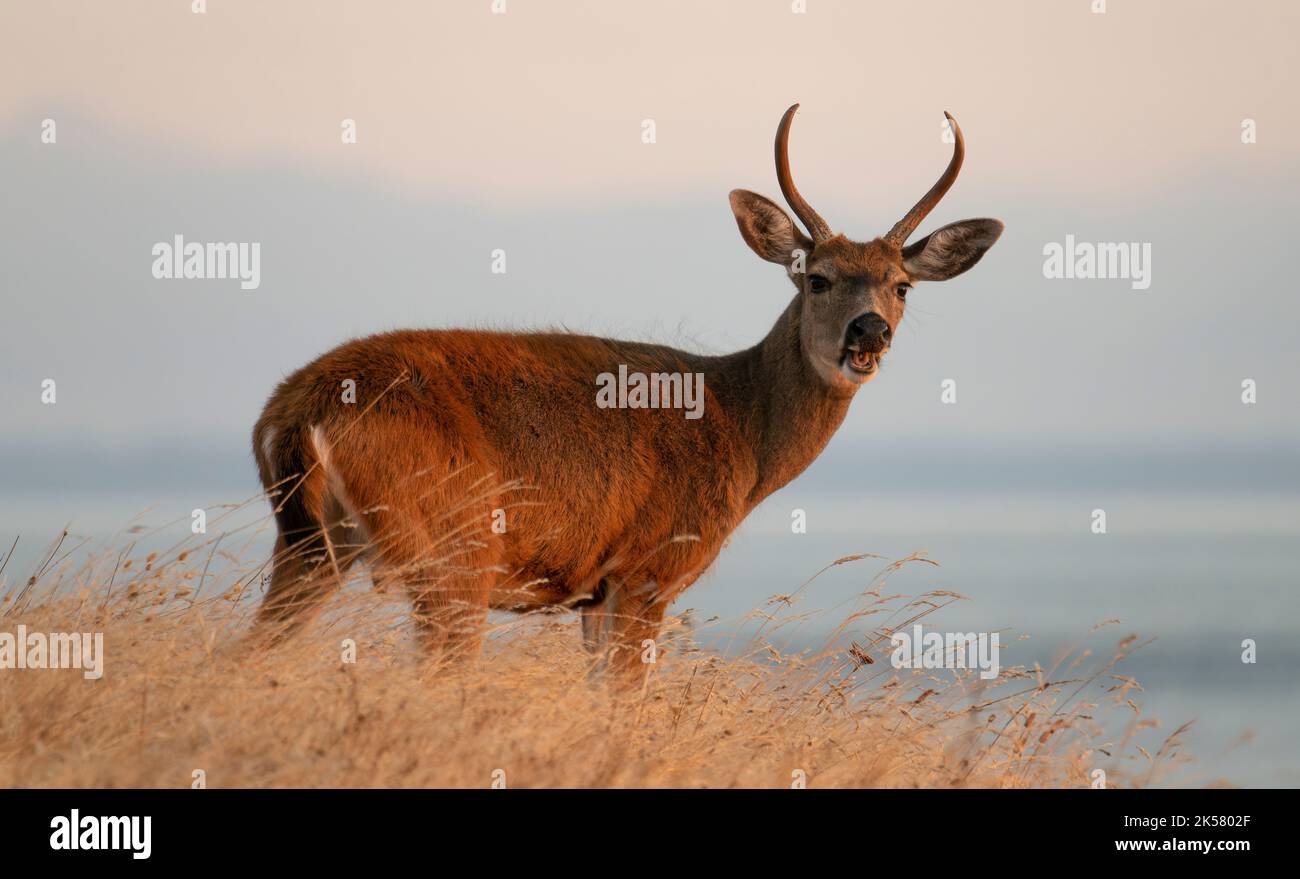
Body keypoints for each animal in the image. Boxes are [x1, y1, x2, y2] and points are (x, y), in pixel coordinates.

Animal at [249, 104, 1003, 687]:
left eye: (901, 286)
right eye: (816, 278)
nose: (869, 329)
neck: (739, 426)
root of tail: (298, 407)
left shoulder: (595, 594)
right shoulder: (648, 570)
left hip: (312, 545)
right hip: (452, 550)